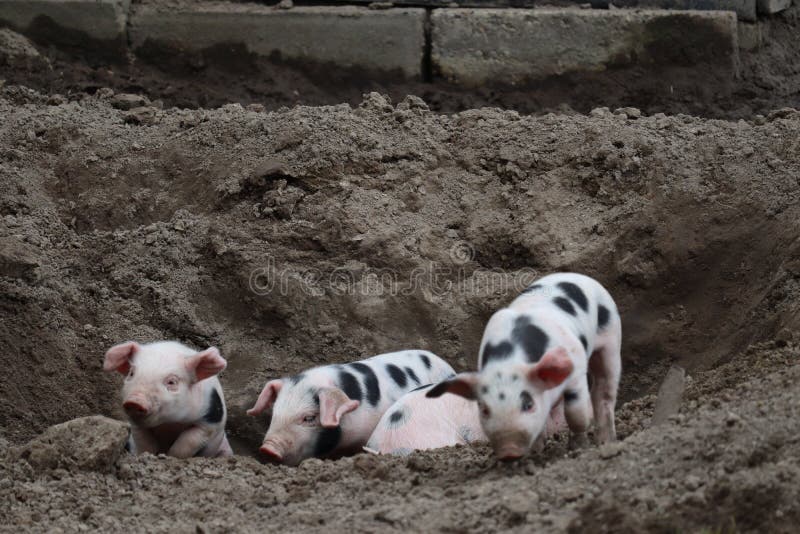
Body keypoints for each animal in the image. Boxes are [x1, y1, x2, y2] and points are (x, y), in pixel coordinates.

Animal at [103, 340, 232, 458]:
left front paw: (169, 456)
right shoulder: (136, 425)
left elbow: (186, 443)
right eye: (131, 373)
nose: (135, 401)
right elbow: (146, 445)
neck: (168, 423)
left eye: (171, 382)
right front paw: (147, 455)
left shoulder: (211, 421)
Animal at [427, 272, 622, 460]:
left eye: (528, 404)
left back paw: (606, 442)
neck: (509, 360)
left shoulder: (576, 371)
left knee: (603, 390)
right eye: (484, 410)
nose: (509, 452)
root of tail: (577, 276)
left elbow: (576, 414)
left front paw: (578, 448)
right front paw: (535, 453)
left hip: (611, 339)